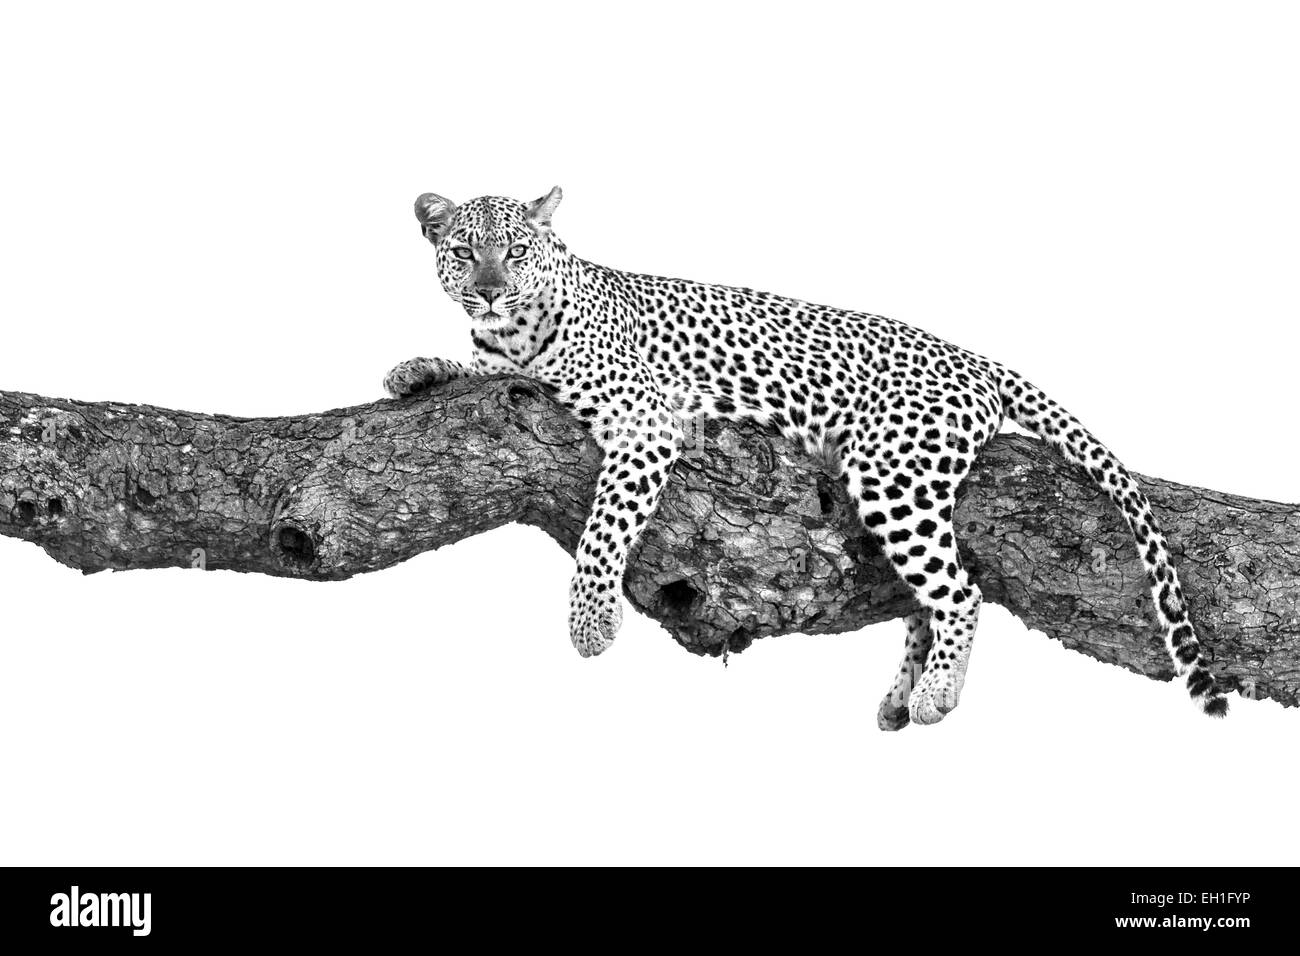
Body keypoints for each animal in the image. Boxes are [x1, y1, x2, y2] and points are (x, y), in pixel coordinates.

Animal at [382, 186, 1228, 728]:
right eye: (465, 251)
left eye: (517, 251)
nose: (490, 290)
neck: (522, 330)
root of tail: (976, 358)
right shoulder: (510, 361)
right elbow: (477, 367)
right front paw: (416, 368)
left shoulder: (646, 423)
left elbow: (603, 531)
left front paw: (589, 624)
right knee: (929, 594)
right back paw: (901, 694)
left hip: (893, 471)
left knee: (960, 592)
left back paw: (936, 694)